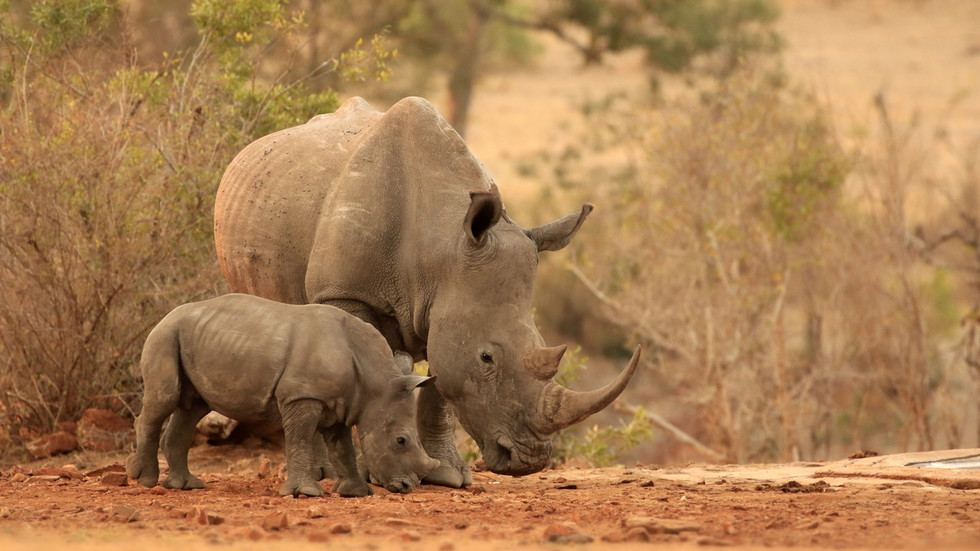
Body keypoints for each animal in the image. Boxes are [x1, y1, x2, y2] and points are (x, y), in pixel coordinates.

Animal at [126, 293, 439, 497]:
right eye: (400, 441)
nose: (408, 487)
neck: (375, 383)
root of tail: (165, 316)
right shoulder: (302, 396)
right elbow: (300, 439)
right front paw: (305, 493)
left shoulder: (341, 404)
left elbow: (343, 447)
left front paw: (356, 493)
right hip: (165, 335)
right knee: (165, 399)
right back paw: (144, 480)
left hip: (191, 337)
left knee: (192, 408)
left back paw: (186, 486)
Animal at [213, 96, 641, 487]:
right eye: (486, 358)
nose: (528, 460)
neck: (441, 249)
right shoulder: (346, 293)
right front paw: (373, 475)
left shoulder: (448, 306)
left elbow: (440, 391)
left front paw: (448, 475)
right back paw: (322, 474)